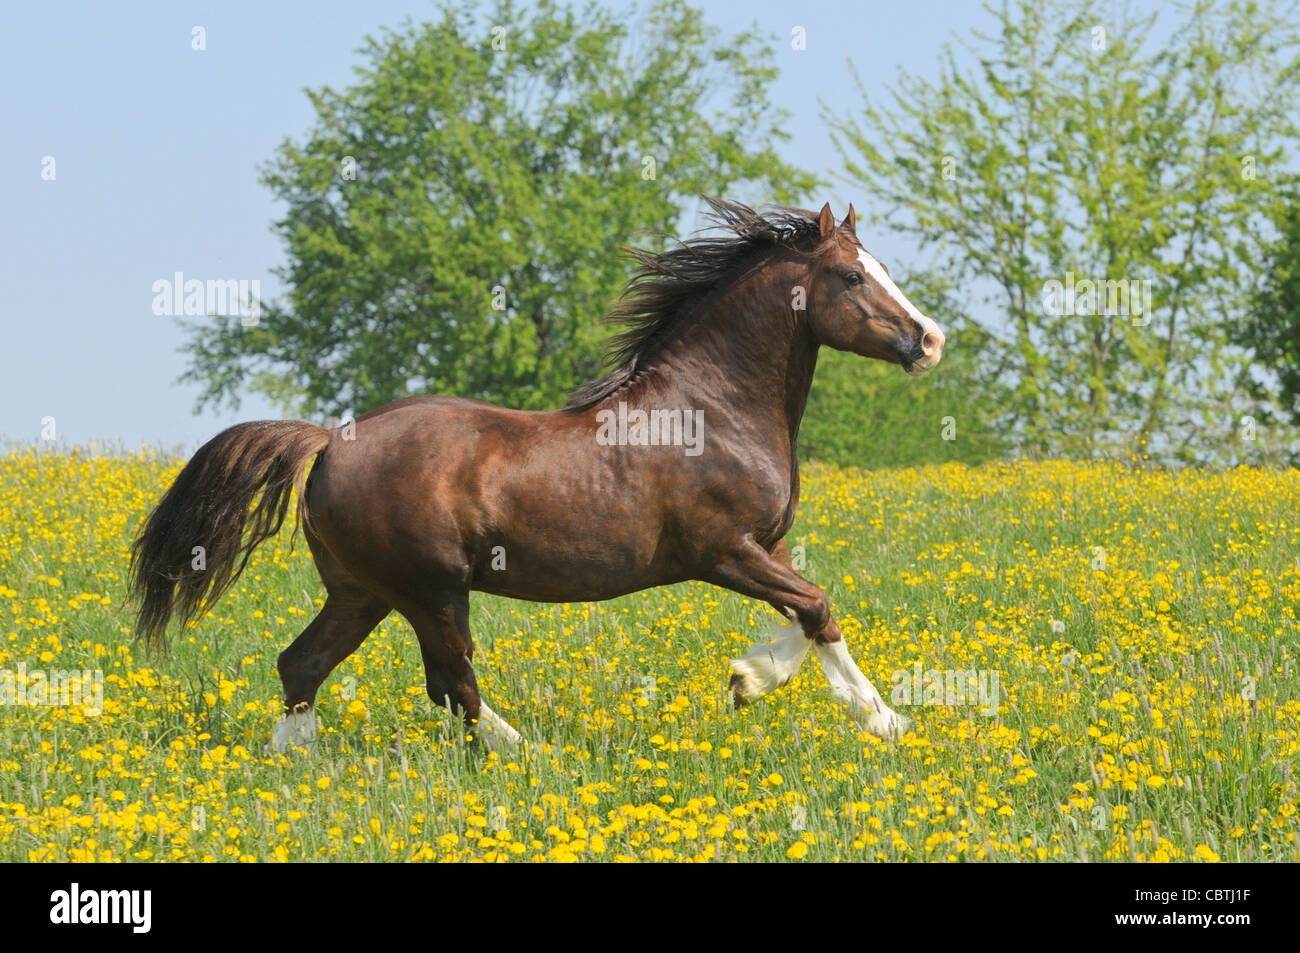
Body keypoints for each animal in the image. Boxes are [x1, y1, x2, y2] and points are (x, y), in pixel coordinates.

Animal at [130, 198, 945, 753]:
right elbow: (816, 606)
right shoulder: (723, 551)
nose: (930, 341)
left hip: (365, 591)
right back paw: (527, 753)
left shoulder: (763, 545)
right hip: (430, 589)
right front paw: (876, 716)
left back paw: (295, 770)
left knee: (304, 665)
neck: (710, 409)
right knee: (450, 681)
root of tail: (329, 442)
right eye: (851, 274)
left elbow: (806, 611)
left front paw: (754, 680)